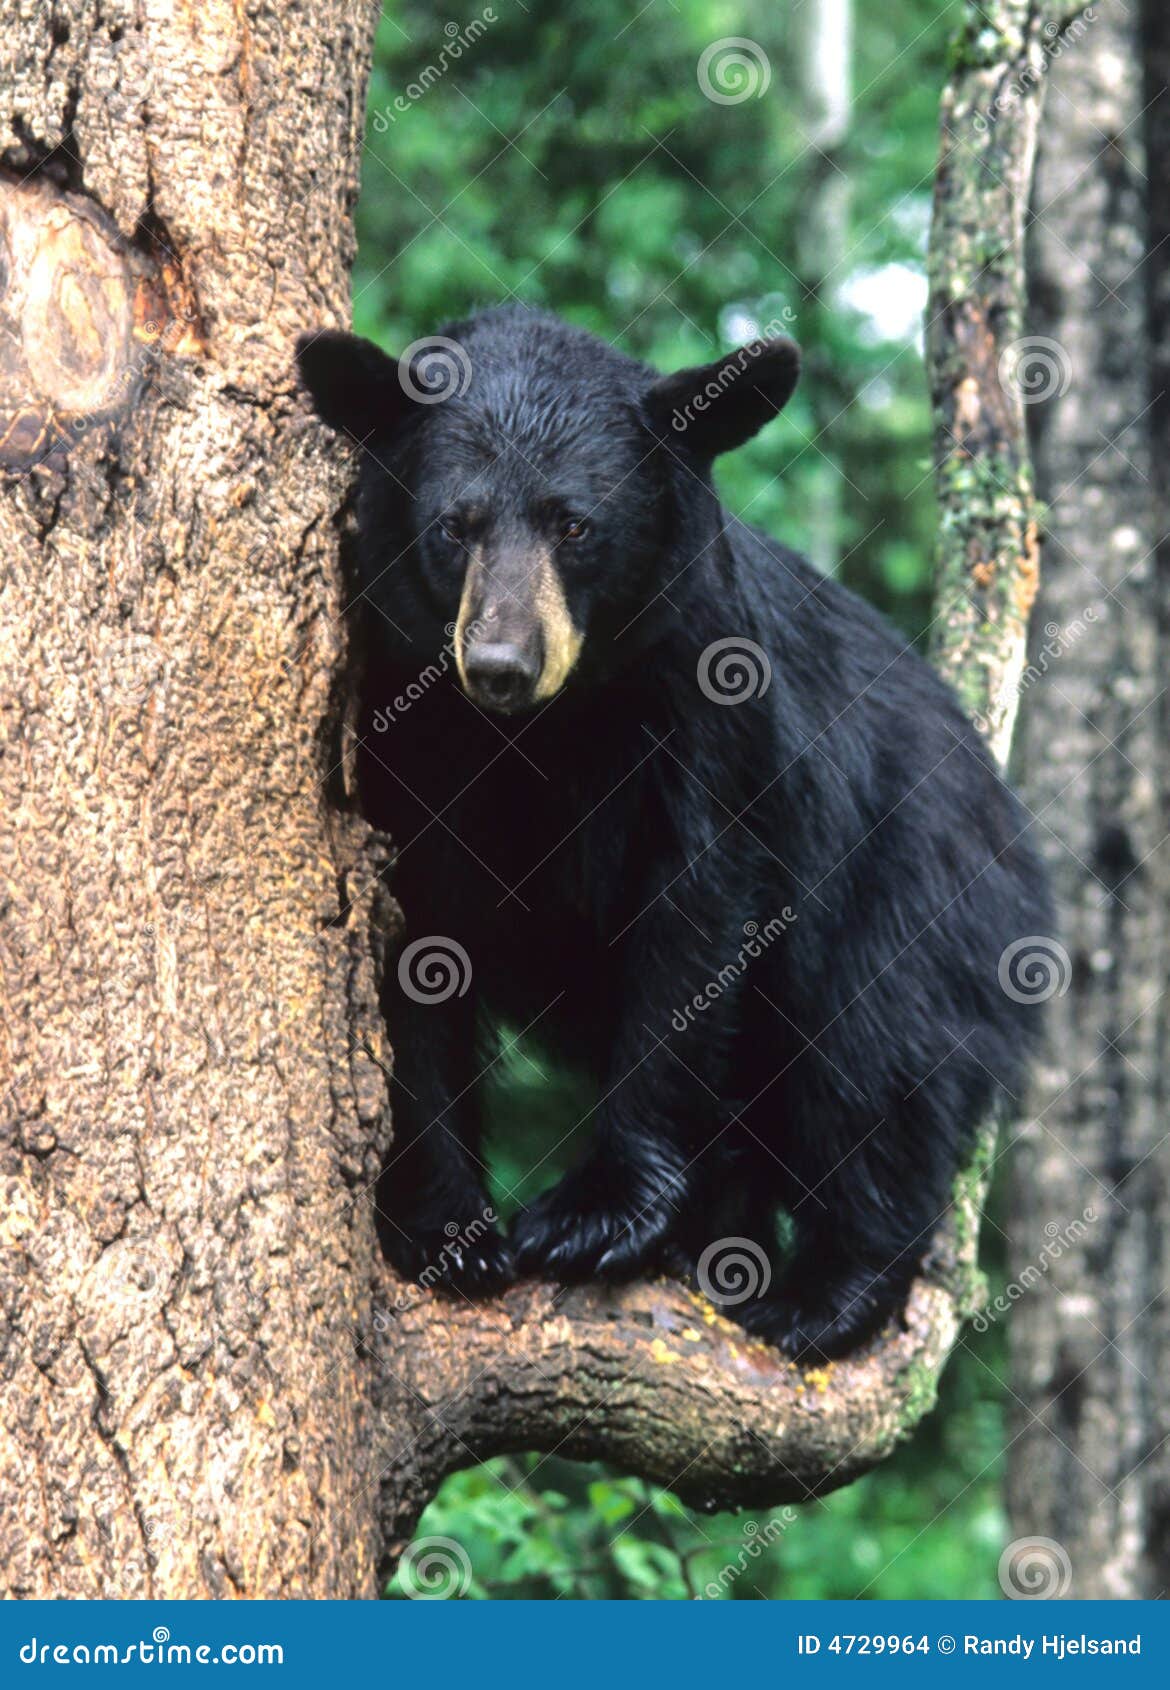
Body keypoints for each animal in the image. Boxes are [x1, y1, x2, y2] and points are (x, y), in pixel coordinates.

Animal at [296, 305, 1050, 1360]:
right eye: (456, 525)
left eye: (576, 524)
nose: (500, 666)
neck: (544, 730)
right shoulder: (405, 725)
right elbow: (413, 952)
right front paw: (448, 1226)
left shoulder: (707, 698)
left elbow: (694, 918)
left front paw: (596, 1215)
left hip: (919, 890)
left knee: (875, 1062)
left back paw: (822, 1295)